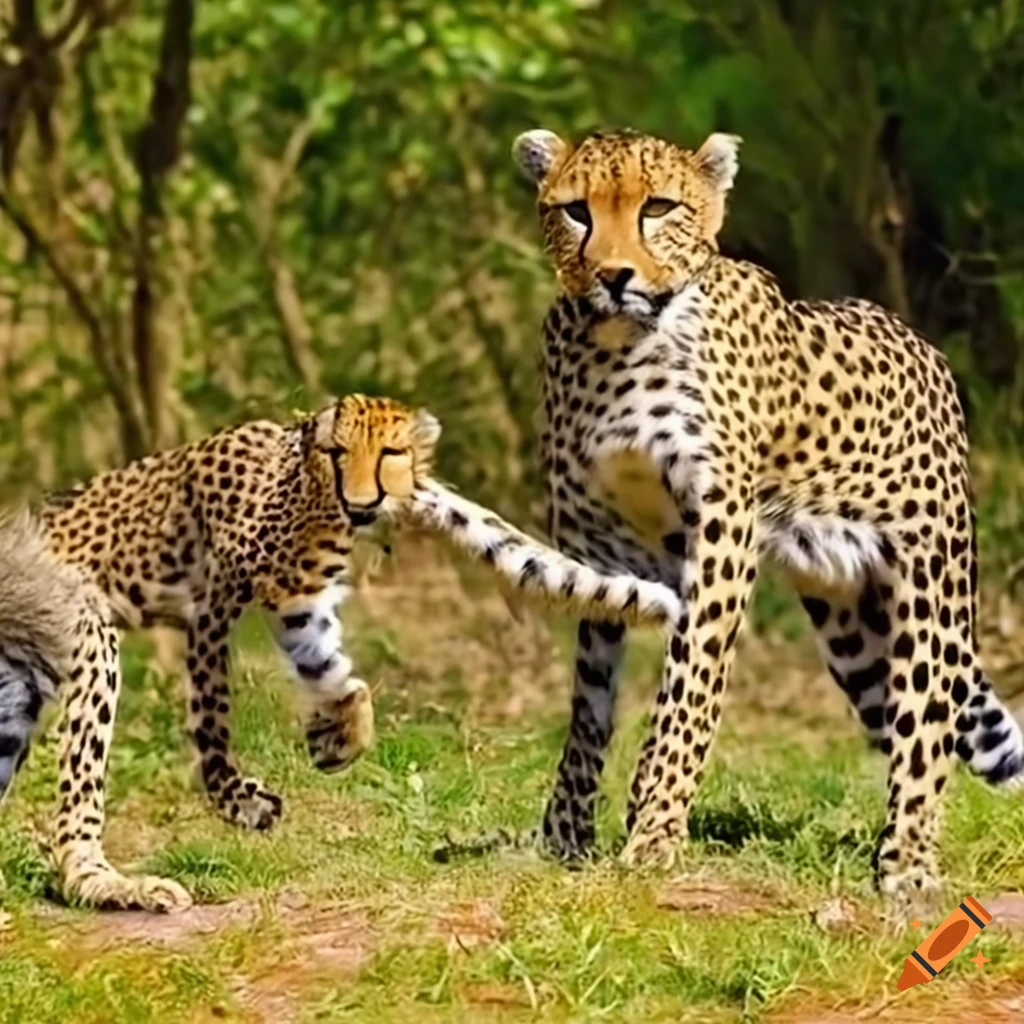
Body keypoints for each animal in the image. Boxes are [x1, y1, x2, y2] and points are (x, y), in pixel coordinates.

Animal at [0, 394, 680, 912]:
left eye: (390, 453)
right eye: (338, 454)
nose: (364, 501)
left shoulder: (292, 596)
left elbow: (325, 663)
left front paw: (337, 734)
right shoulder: (223, 596)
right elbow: (213, 715)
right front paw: (243, 797)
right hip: (76, 637)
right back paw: (100, 883)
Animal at [504, 125, 1023, 907]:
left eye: (658, 208)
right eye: (576, 212)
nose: (614, 276)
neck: (619, 350)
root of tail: (917, 340)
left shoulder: (721, 533)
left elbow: (689, 688)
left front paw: (653, 832)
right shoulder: (595, 545)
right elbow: (589, 708)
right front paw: (566, 833)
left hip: (931, 593)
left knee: (926, 729)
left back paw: (907, 864)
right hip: (851, 630)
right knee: (897, 718)